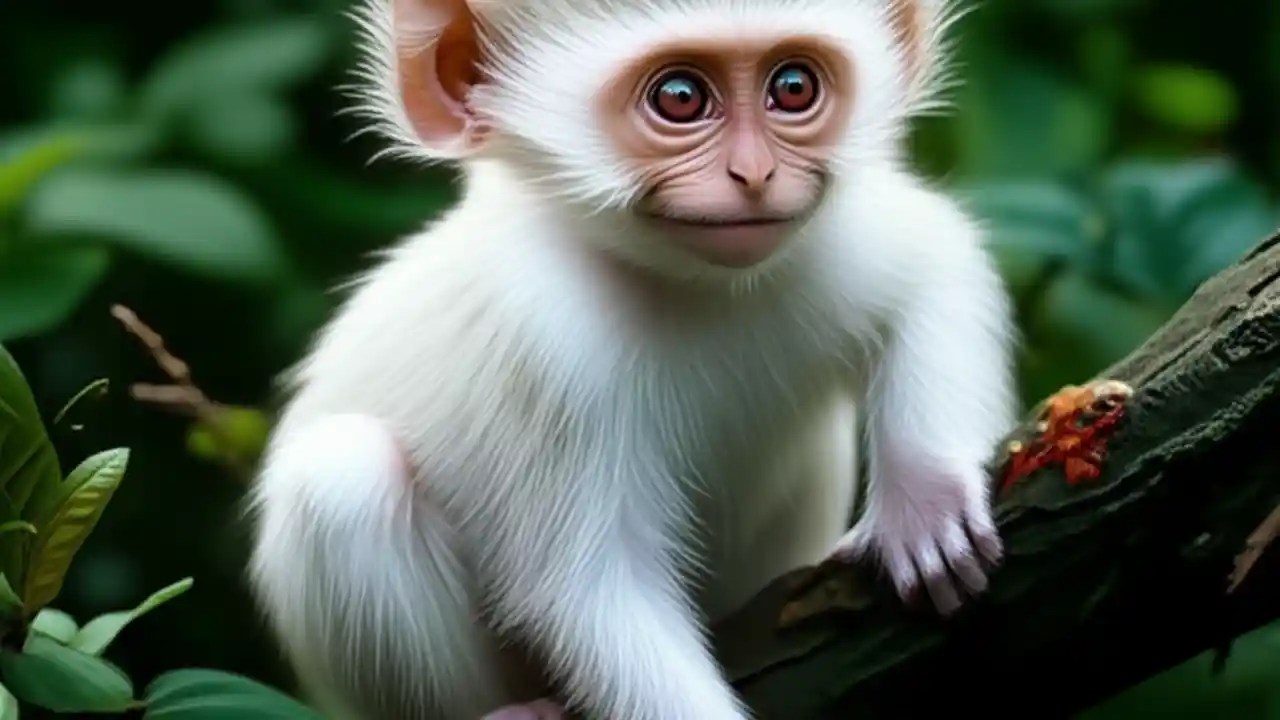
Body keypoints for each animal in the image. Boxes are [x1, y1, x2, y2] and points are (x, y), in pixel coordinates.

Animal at [245, 1, 1017, 719]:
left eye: (793, 87)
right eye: (679, 98)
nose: (756, 174)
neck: (692, 283)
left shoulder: (833, 237)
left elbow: (938, 264)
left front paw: (924, 501)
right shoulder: (550, 343)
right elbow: (596, 593)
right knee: (345, 476)